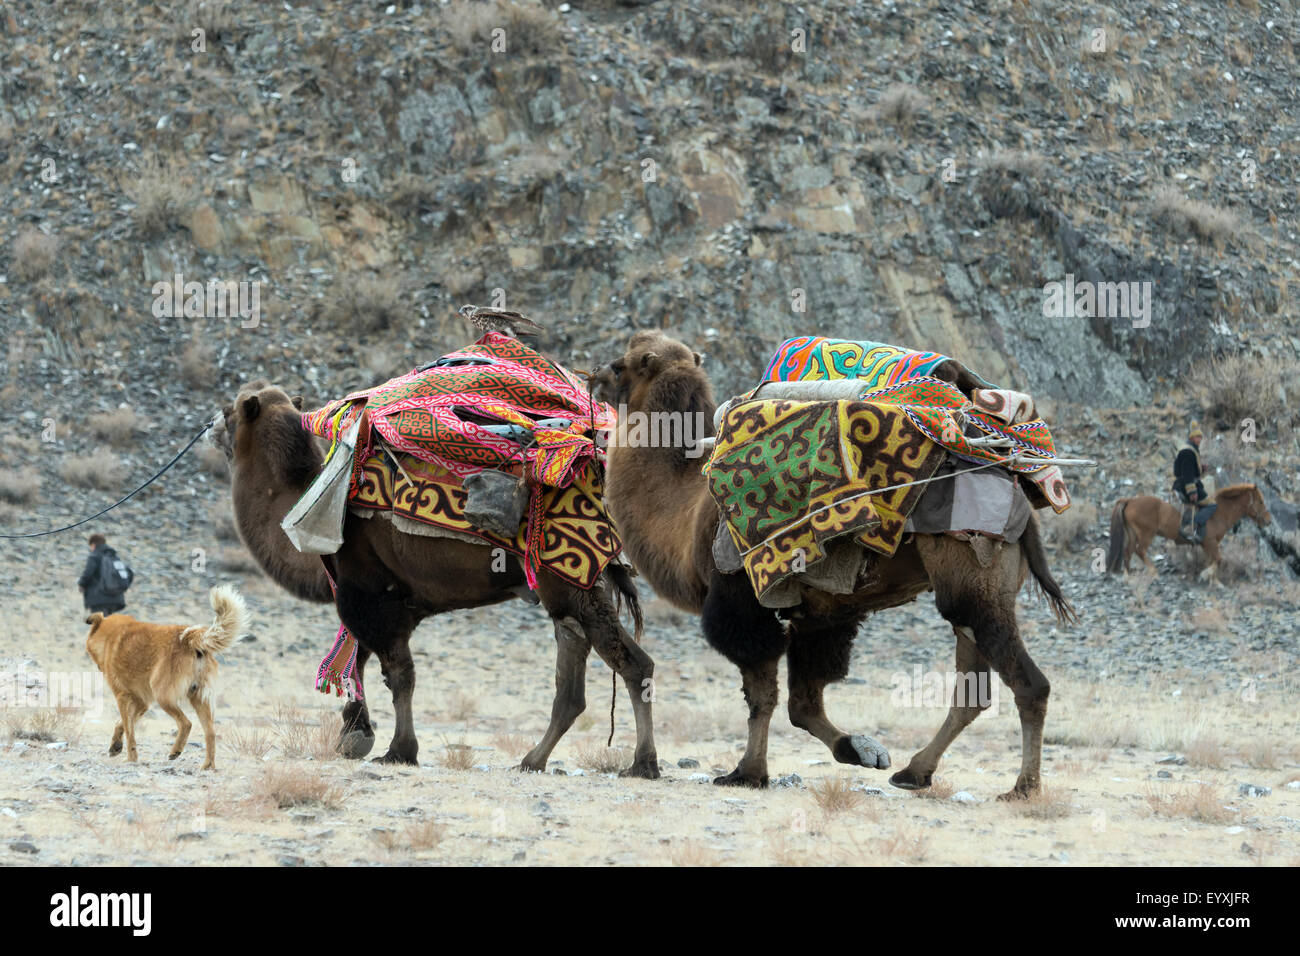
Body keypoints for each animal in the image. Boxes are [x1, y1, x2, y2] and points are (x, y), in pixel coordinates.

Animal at [212, 382, 659, 775]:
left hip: (570, 579)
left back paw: (642, 764)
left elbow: (396, 675)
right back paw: (533, 761)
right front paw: (356, 735)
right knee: (573, 685)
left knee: (633, 664)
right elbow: (364, 662)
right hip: (570, 590)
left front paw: (396, 750)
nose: (212, 426)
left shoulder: (367, 593)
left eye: (230, 411)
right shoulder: (397, 600)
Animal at [592, 331, 1075, 799]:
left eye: (620, 365)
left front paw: (747, 773)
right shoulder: (822, 612)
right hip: (974, 588)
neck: (684, 511)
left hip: (973, 577)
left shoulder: (738, 601)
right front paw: (858, 750)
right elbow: (801, 703)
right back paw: (914, 772)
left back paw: (1022, 787)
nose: (594, 375)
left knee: (1029, 683)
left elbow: (763, 695)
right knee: (973, 690)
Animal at [1105, 485, 1272, 581]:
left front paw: (1214, 581)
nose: (1269, 520)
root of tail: (1130, 501)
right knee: (1139, 551)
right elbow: (1218, 559)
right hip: (1146, 534)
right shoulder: (1210, 543)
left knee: (1128, 552)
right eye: (1260, 502)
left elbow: (1212, 561)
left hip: (1133, 534)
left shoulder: (1207, 546)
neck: (1218, 512)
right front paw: (1206, 575)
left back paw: (1127, 575)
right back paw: (1153, 572)